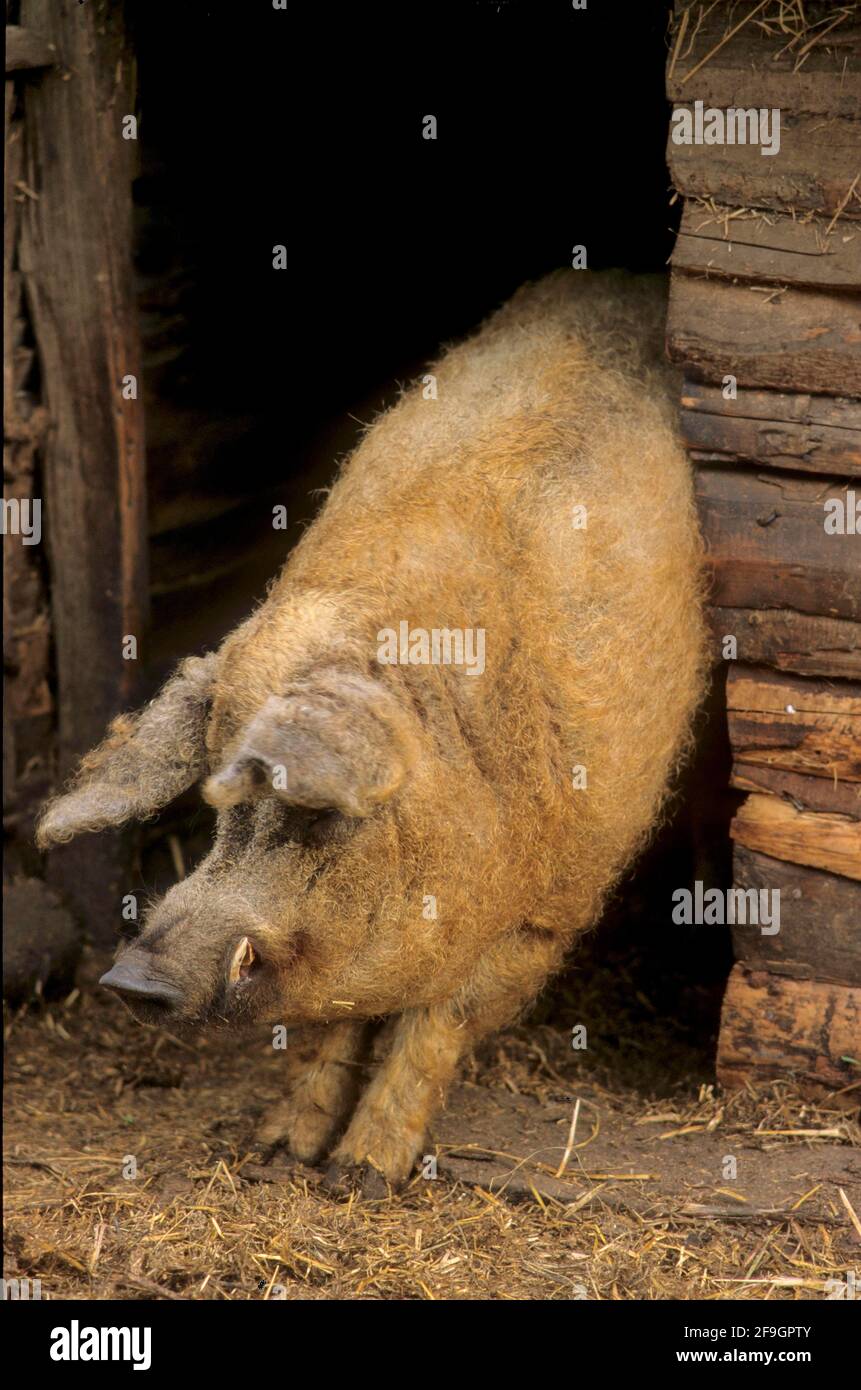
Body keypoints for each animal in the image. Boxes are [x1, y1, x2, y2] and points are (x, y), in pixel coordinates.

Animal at [37, 270, 708, 1187]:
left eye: (315, 818)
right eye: (216, 807)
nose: (133, 979)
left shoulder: (549, 913)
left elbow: (436, 1023)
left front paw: (363, 1173)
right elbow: (334, 1023)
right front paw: (280, 1154)